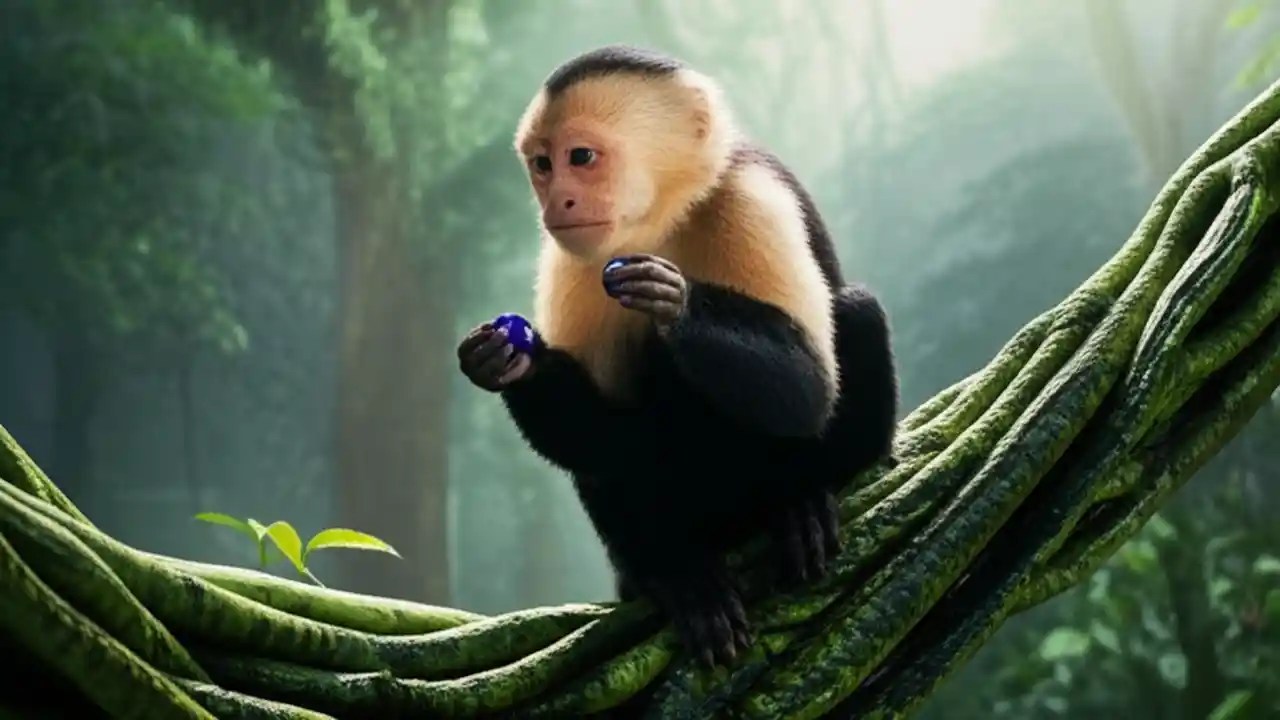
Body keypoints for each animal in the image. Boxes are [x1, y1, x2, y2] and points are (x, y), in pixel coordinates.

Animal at [456, 45, 898, 668]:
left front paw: (675, 303)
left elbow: (808, 391)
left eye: (581, 157)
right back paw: (672, 574)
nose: (557, 201)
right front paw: (507, 361)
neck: (662, 219)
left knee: (855, 312)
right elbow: (601, 438)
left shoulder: (751, 200)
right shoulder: (572, 256)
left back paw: (805, 504)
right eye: (542, 165)